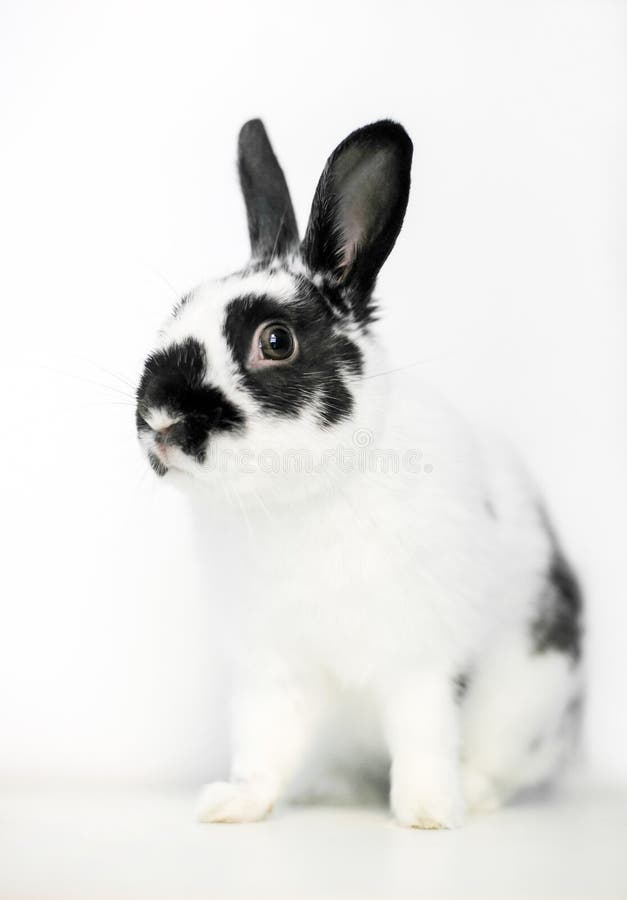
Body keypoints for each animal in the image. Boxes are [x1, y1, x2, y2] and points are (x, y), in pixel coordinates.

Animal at [135, 119, 583, 828]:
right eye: (175, 311)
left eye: (276, 341)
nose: (159, 418)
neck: (303, 500)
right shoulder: (273, 669)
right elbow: (264, 744)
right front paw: (234, 805)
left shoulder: (422, 662)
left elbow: (424, 738)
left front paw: (429, 814)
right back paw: (332, 790)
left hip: (531, 697)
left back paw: (474, 794)